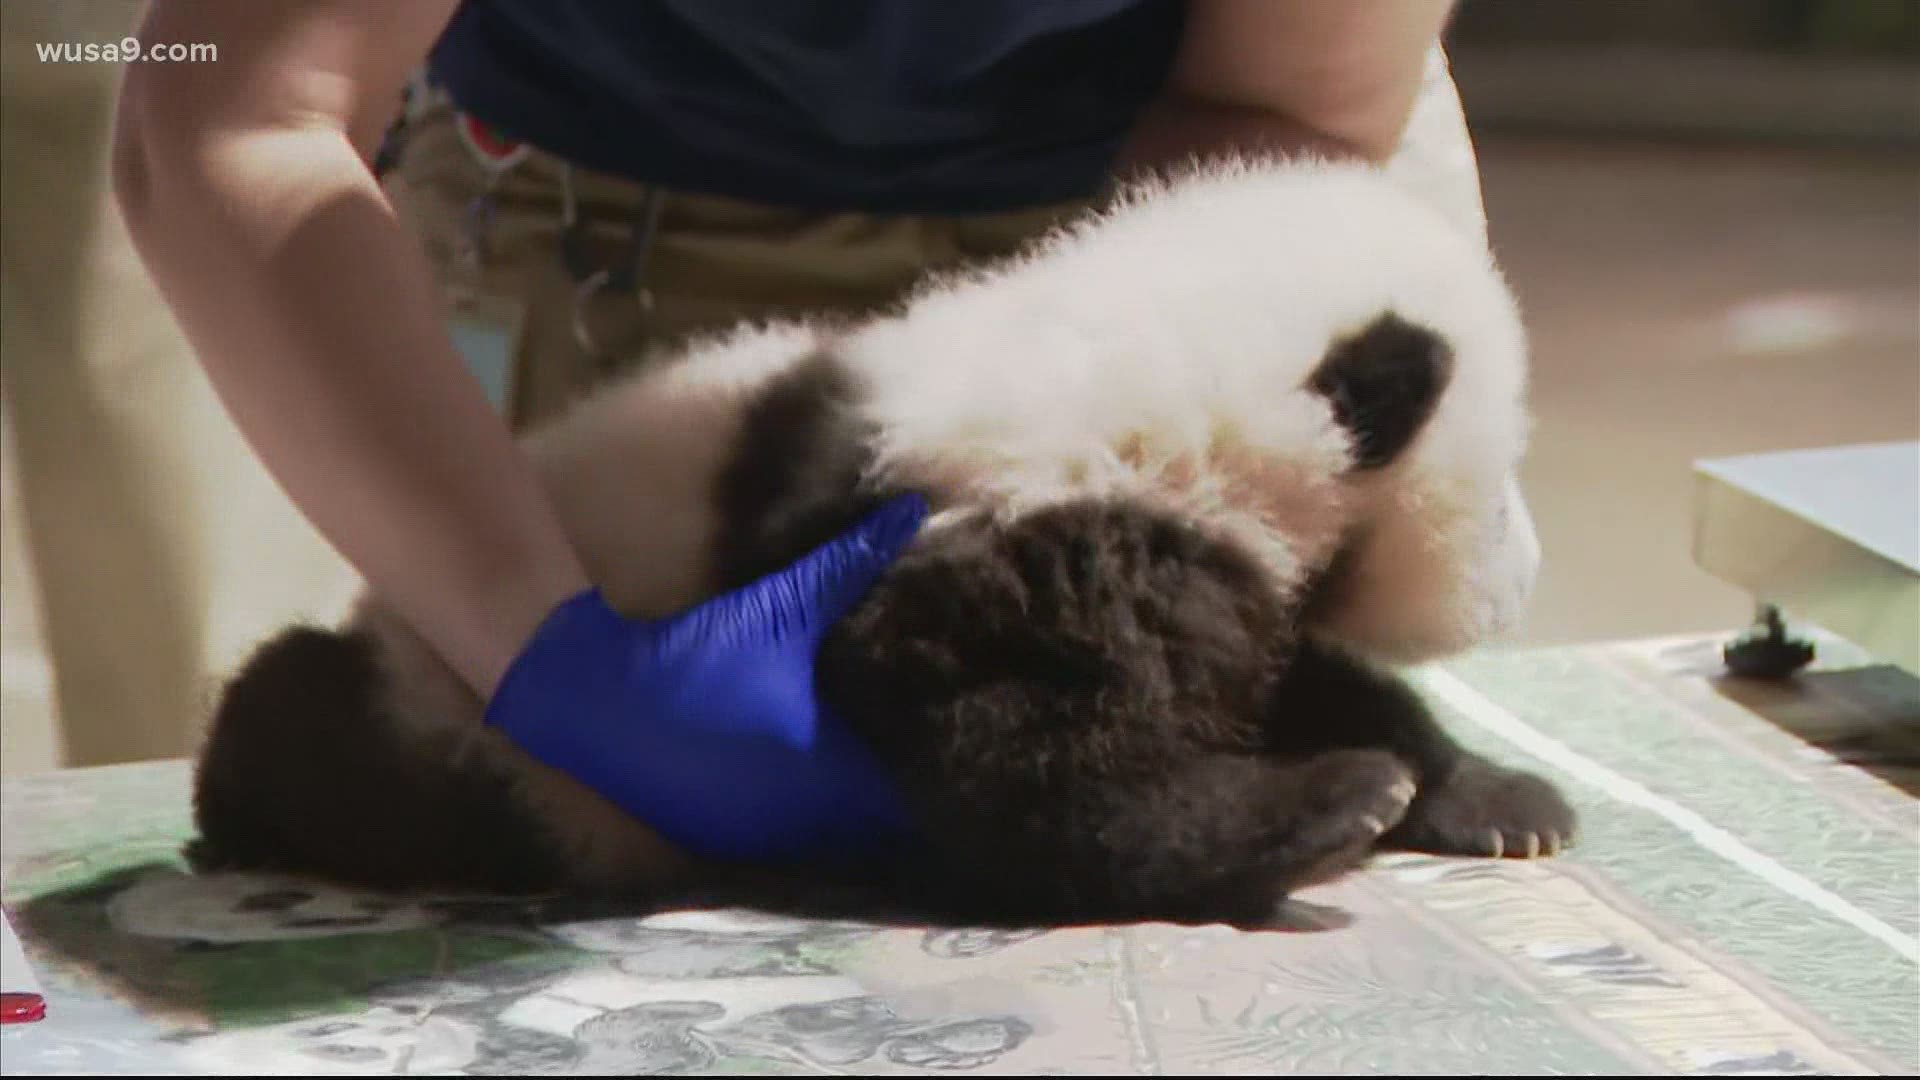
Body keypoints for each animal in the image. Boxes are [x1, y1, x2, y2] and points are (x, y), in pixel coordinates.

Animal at [188, 155, 1575, 928]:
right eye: (1507, 474)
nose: (1528, 574)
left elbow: (1282, 671)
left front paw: (1497, 801)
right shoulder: (977, 540)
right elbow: (1019, 767)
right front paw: (1335, 800)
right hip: (478, 726)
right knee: (335, 737)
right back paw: (239, 800)